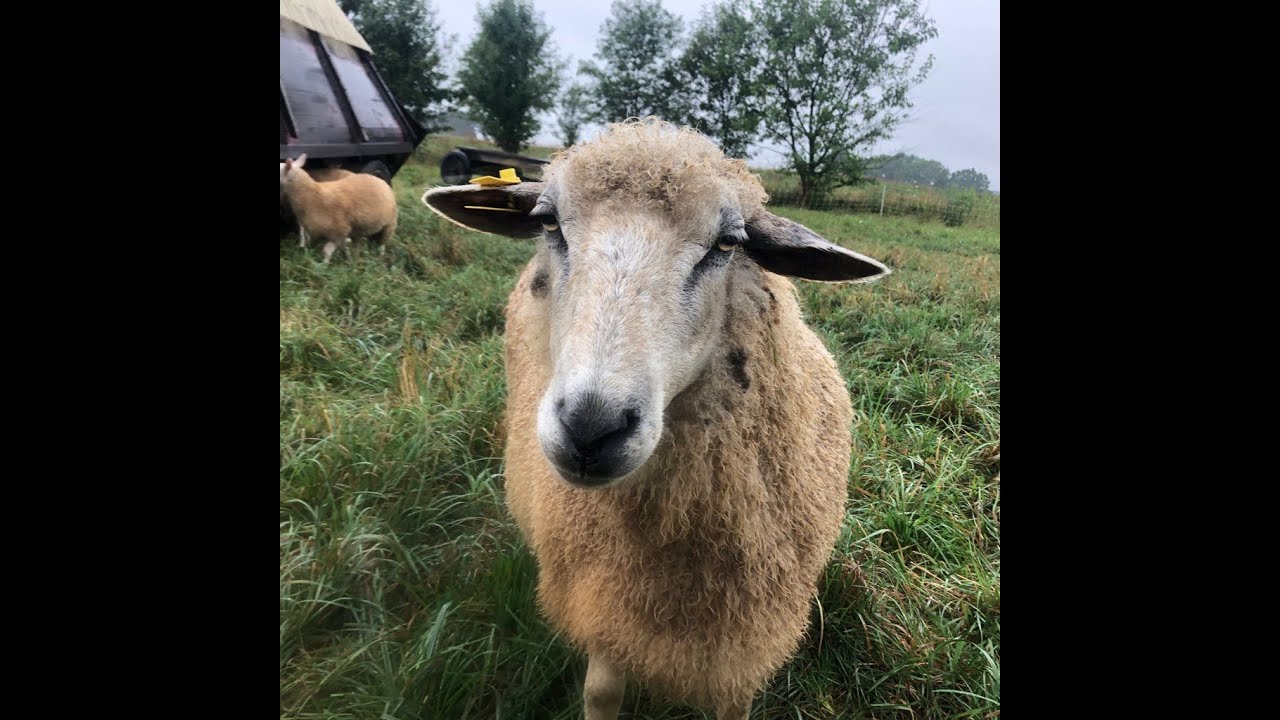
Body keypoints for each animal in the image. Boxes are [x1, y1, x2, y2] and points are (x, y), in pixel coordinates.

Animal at [422, 119, 890, 720]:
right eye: (548, 221)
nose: (591, 428)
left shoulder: (744, 641)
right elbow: (602, 692)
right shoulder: (607, 605)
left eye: (727, 244)